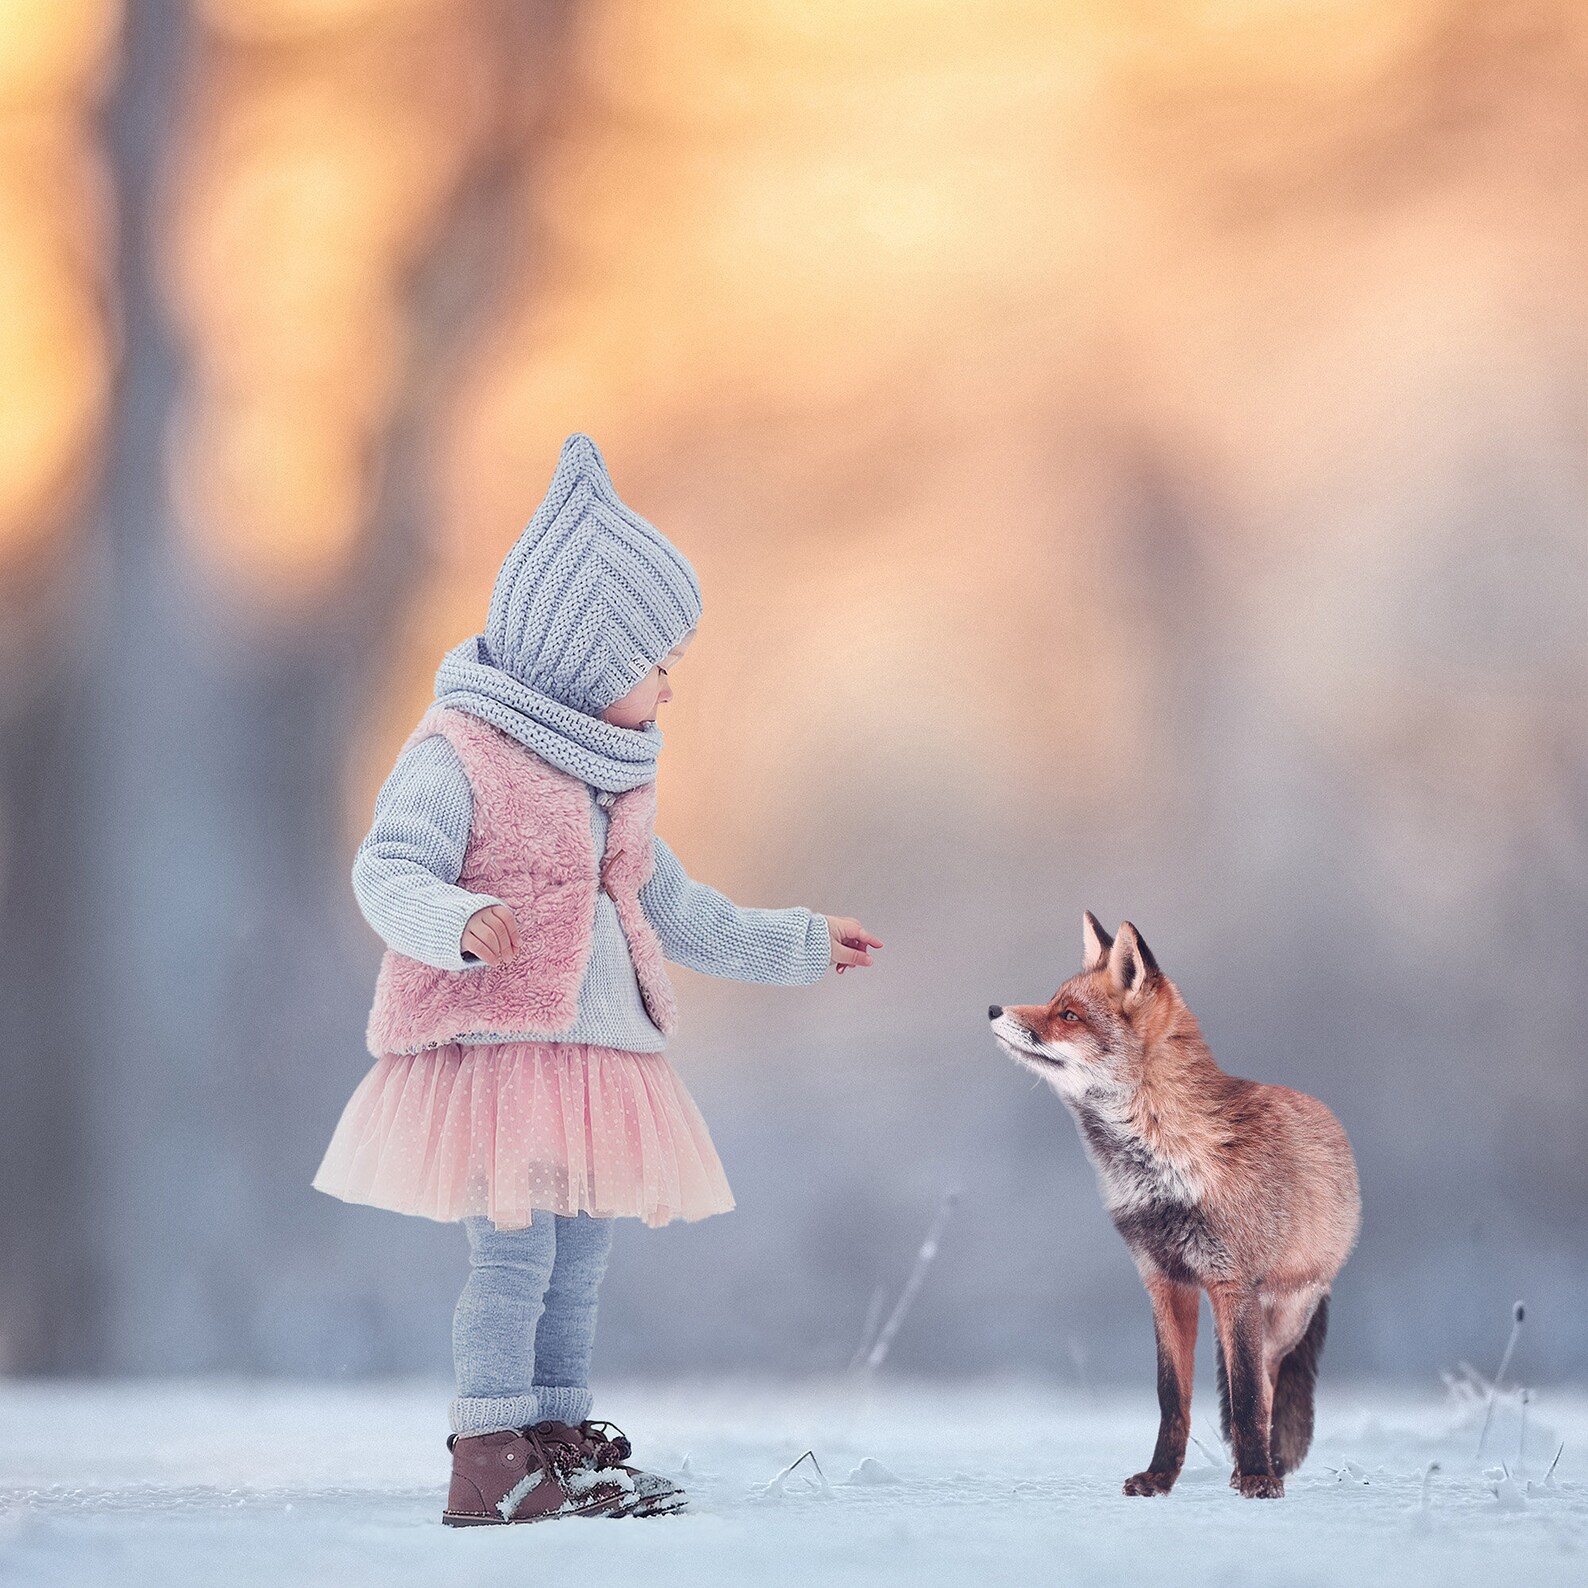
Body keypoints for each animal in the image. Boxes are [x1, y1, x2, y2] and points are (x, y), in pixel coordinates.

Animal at [989, 913, 1360, 1499]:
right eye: (1052, 1002)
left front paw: (1258, 1478)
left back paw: (1260, 1468)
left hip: (1283, 1313)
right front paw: (1160, 1478)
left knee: (1267, 1383)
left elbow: (1248, 1399)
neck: (1165, 1167)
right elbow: (1172, 1398)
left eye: (1067, 1015)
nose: (993, 1010)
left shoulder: (1233, 1283)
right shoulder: (1166, 1282)